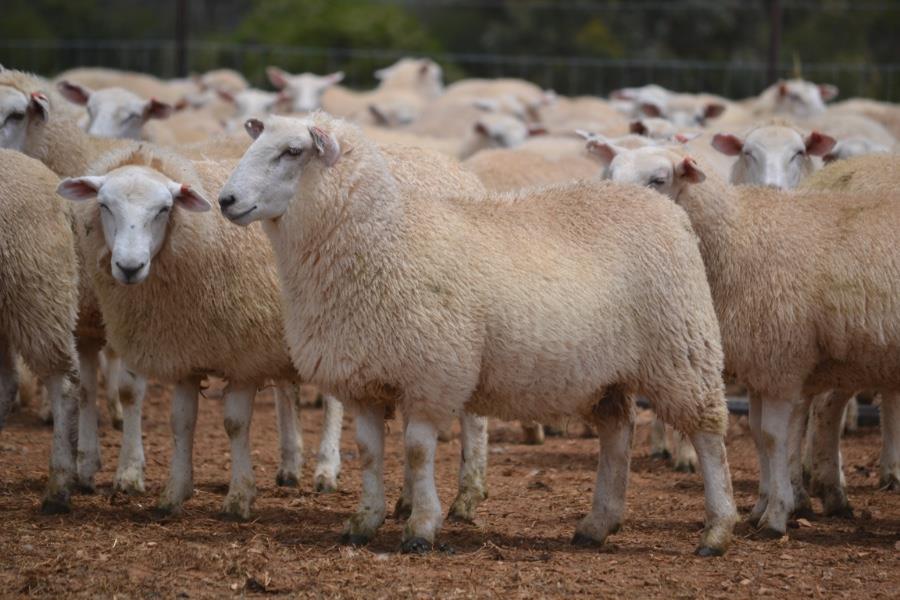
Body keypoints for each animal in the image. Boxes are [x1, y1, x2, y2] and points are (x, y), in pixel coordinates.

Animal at [57, 143, 345, 518]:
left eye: (164, 209)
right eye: (104, 205)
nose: (129, 266)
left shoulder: (244, 356)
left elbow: (235, 425)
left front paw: (239, 497)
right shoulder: (186, 352)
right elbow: (180, 422)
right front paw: (174, 493)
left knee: (333, 400)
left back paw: (326, 469)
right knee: (288, 391)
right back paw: (289, 467)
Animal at [218, 112, 738, 556]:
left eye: (292, 151)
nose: (226, 200)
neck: (385, 240)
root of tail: (665, 210)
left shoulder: (432, 372)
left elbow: (417, 450)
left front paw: (421, 527)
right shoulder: (364, 377)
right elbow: (368, 452)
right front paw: (364, 521)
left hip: (681, 347)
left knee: (709, 433)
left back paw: (717, 529)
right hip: (608, 372)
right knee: (617, 431)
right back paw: (597, 524)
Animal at [598, 142, 900, 534]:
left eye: (658, 179)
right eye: (611, 173)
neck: (737, 236)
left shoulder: (781, 360)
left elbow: (772, 436)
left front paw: (776, 515)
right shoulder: (761, 364)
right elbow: (758, 433)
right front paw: (762, 507)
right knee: (828, 411)